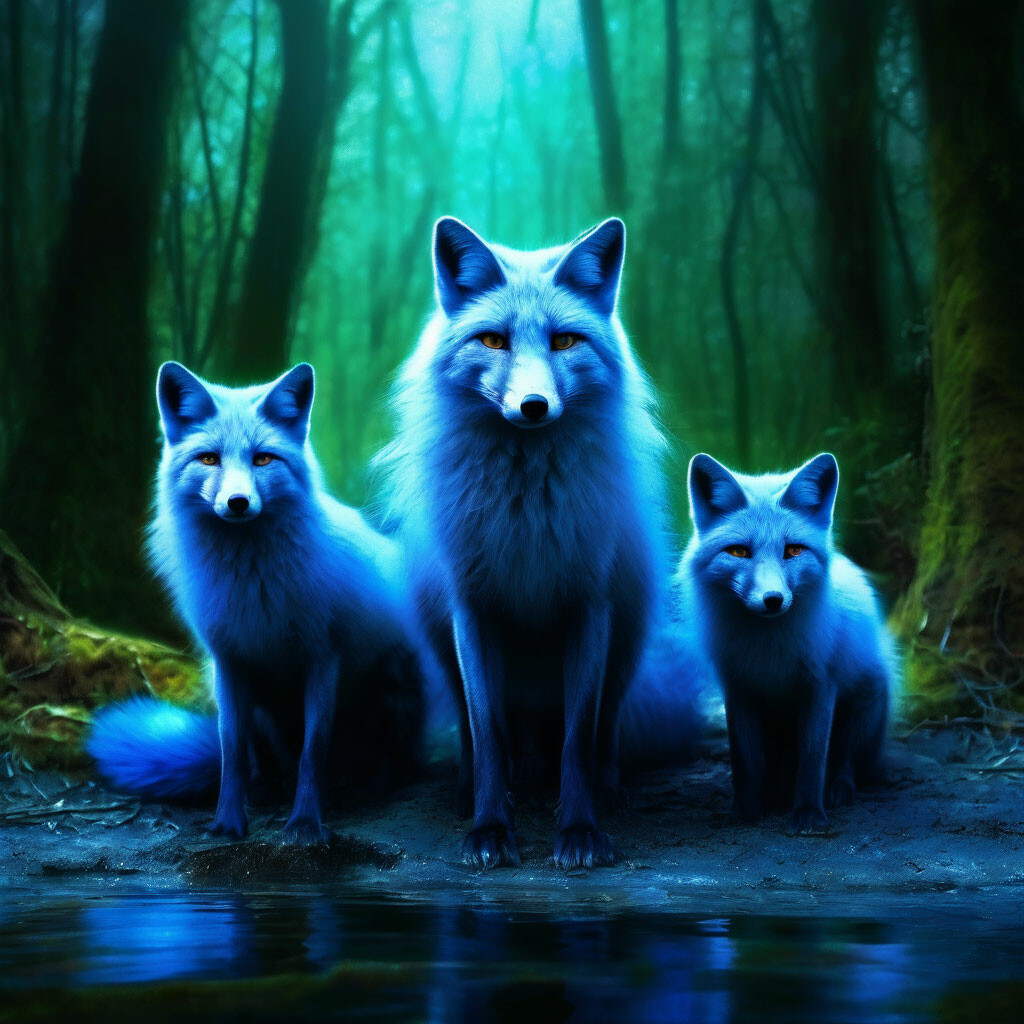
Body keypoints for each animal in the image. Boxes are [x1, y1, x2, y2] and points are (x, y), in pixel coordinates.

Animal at [87, 362, 423, 844]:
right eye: (209, 459)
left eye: (263, 459)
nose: (238, 502)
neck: (253, 588)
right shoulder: (229, 661)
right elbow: (232, 753)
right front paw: (228, 822)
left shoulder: (324, 657)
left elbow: (312, 752)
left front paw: (305, 824)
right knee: (262, 762)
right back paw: (269, 790)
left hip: (396, 680)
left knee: (391, 756)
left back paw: (370, 784)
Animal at [375, 216, 702, 870]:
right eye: (494, 341)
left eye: (565, 341)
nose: (533, 406)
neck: (525, 515)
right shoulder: (471, 610)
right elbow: (486, 732)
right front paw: (489, 828)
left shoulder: (590, 607)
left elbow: (577, 737)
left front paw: (579, 829)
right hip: (439, 640)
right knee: (490, 733)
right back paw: (481, 786)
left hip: (628, 638)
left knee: (603, 729)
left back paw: (605, 787)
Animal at [678, 451, 894, 832]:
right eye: (738, 551)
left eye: (793, 550)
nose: (773, 600)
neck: (769, 650)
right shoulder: (738, 687)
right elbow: (744, 761)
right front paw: (746, 810)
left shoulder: (821, 686)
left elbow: (812, 758)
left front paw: (808, 813)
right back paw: (774, 789)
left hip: (864, 704)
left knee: (846, 762)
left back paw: (839, 789)